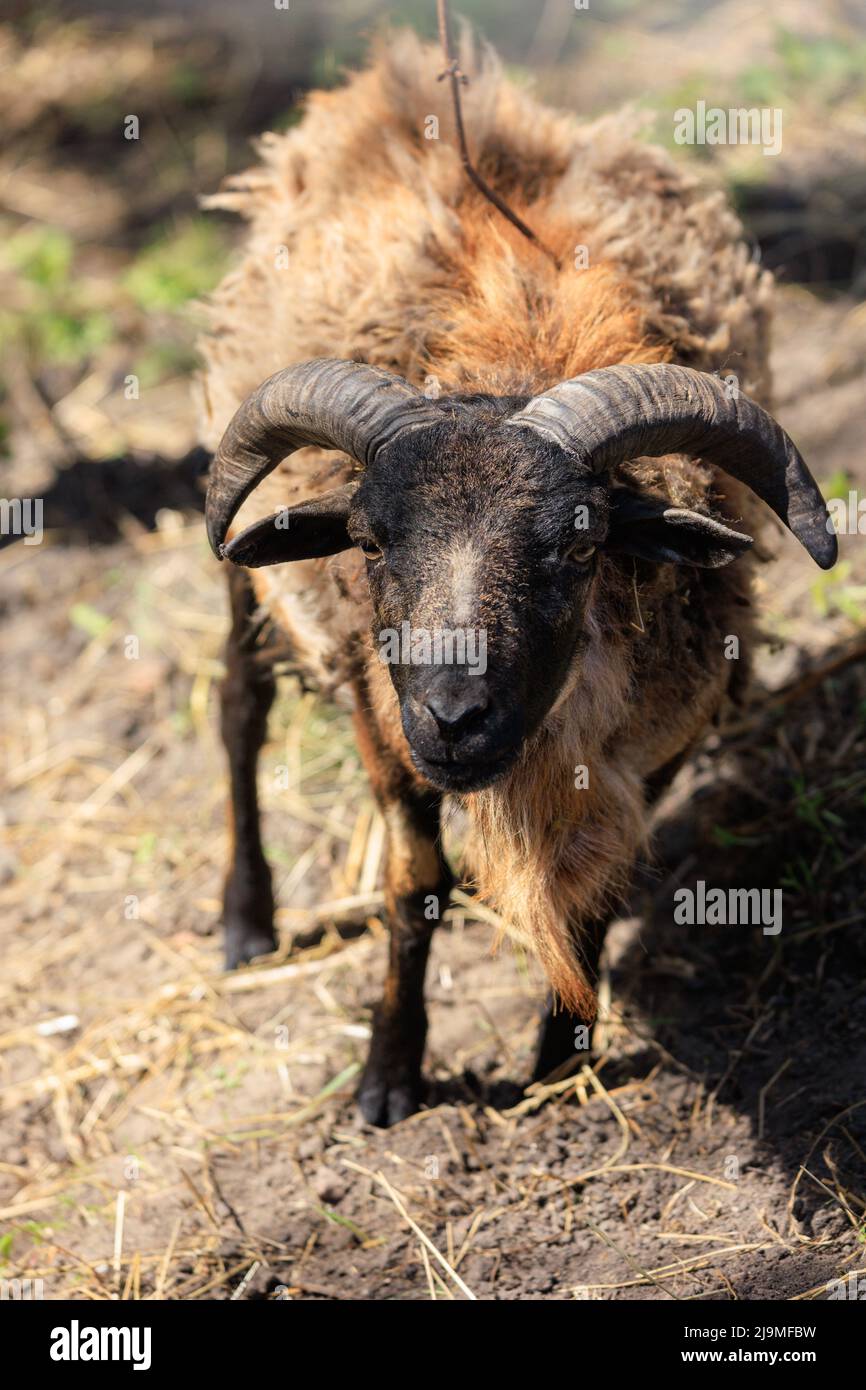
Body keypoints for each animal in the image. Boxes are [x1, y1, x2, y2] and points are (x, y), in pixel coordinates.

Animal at [197, 29, 835, 1126]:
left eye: (580, 546)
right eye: (367, 541)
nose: (454, 719)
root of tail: (396, 69)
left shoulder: (661, 735)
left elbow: (601, 888)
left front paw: (557, 1059)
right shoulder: (381, 722)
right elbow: (413, 887)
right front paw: (387, 1079)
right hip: (246, 569)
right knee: (240, 710)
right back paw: (246, 922)